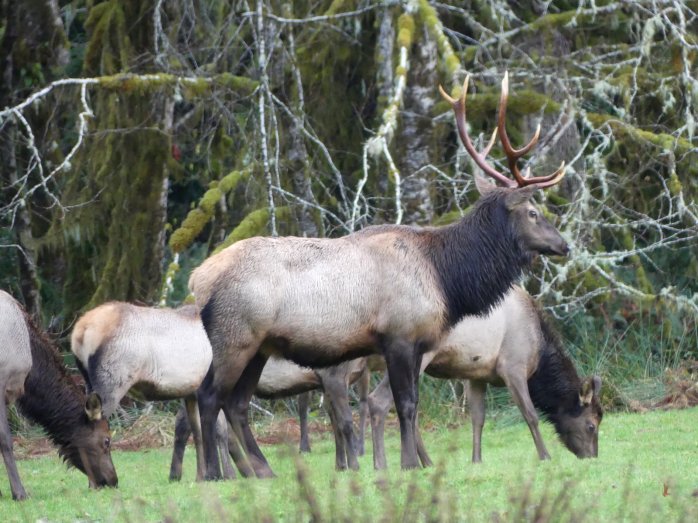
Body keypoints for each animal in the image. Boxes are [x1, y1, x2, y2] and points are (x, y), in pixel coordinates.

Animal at [70, 302, 212, 481]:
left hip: (89, 383)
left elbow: (194, 432)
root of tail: (81, 332)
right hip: (111, 384)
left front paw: (197, 476)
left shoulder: (190, 392)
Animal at [189, 72, 570, 479]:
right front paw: (407, 464)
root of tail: (197, 279)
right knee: (209, 396)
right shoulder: (400, 335)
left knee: (237, 403)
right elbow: (405, 404)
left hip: (260, 346)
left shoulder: (411, 344)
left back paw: (264, 471)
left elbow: (400, 403)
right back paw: (212, 473)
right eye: (533, 212)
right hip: (234, 336)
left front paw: (401, 462)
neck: (446, 277)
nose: (563, 245)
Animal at [367, 286, 603, 469]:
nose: (592, 456)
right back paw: (384, 465)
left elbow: (478, 419)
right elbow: (530, 415)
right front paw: (545, 456)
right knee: (380, 400)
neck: (539, 352)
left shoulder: (476, 374)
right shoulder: (513, 367)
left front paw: (476, 460)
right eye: (591, 425)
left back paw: (427, 462)